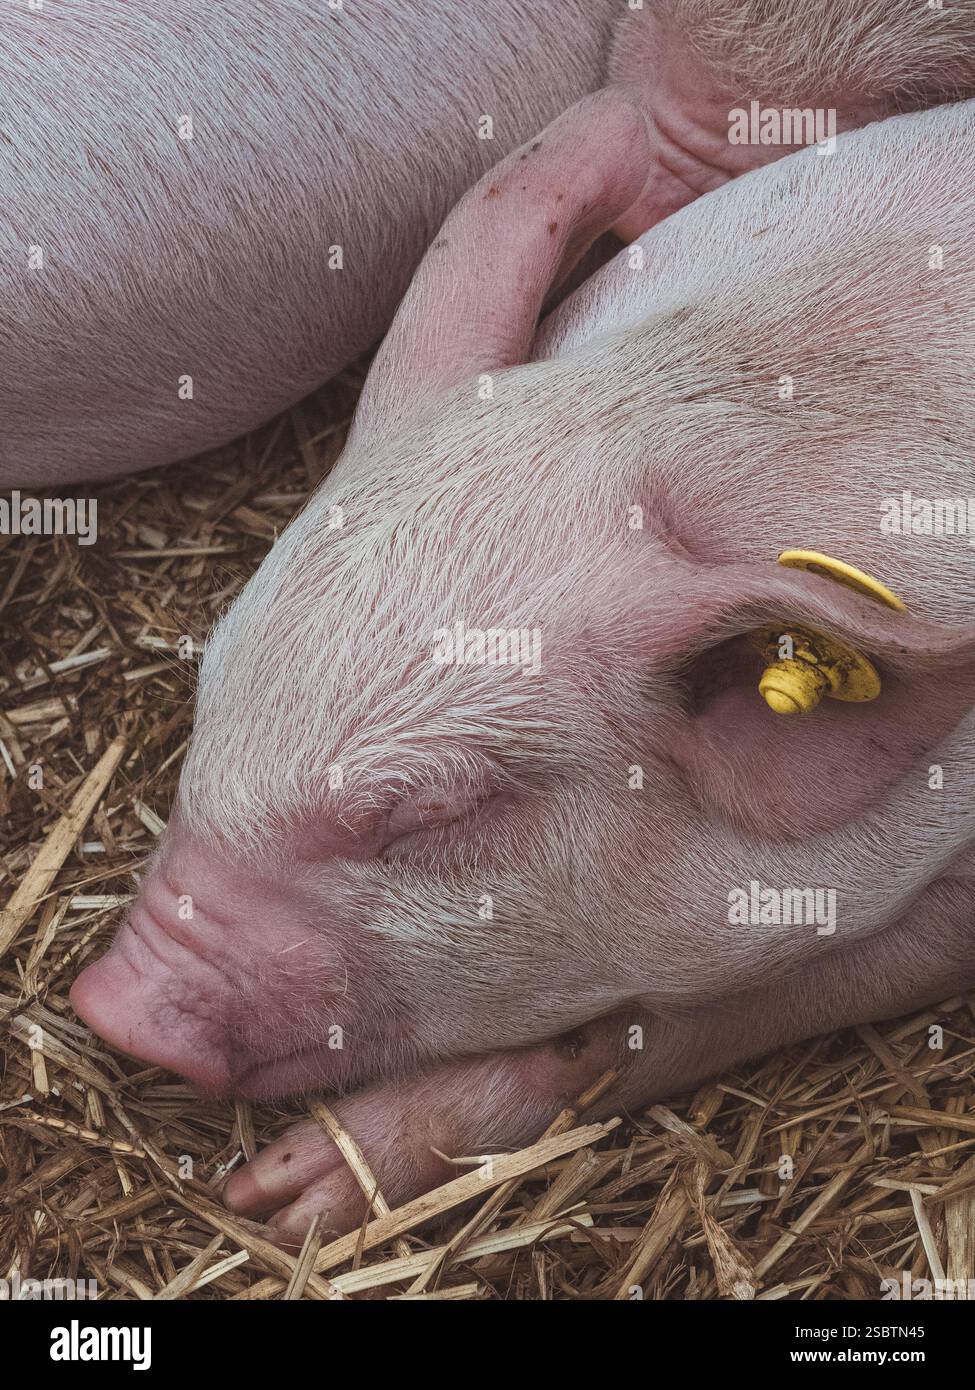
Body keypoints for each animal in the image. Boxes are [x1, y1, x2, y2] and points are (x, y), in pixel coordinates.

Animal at [71, 90, 975, 1245]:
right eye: (209, 683)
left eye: (433, 812)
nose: (112, 1007)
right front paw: (267, 1199)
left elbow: (644, 1034)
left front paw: (287, 1195)